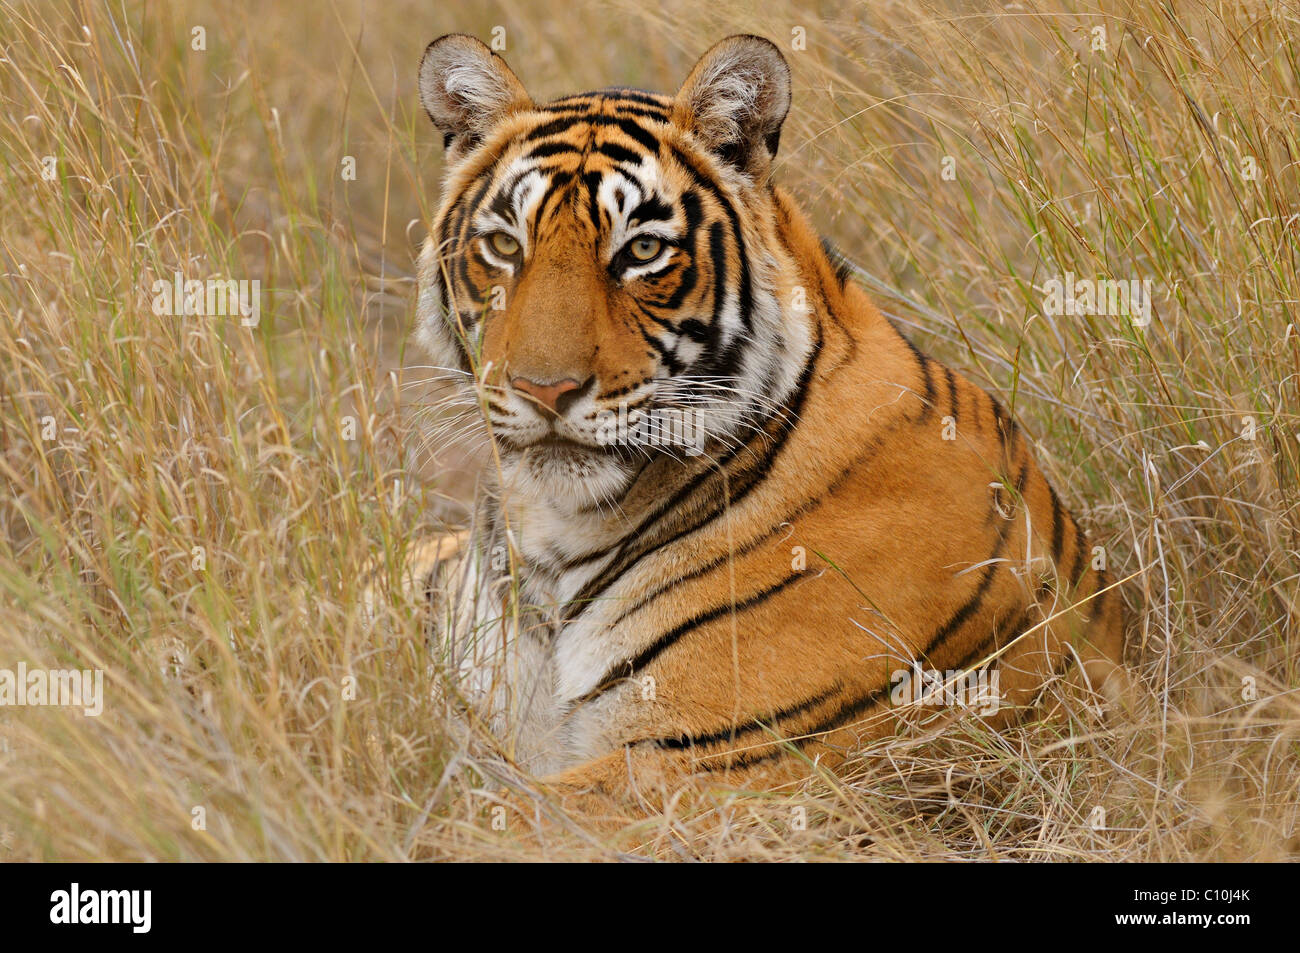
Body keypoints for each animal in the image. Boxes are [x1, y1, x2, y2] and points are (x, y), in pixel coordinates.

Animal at [406, 32, 1127, 818]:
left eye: (642, 251)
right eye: (506, 245)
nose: (545, 390)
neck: (558, 535)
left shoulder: (706, 761)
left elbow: (470, 820)